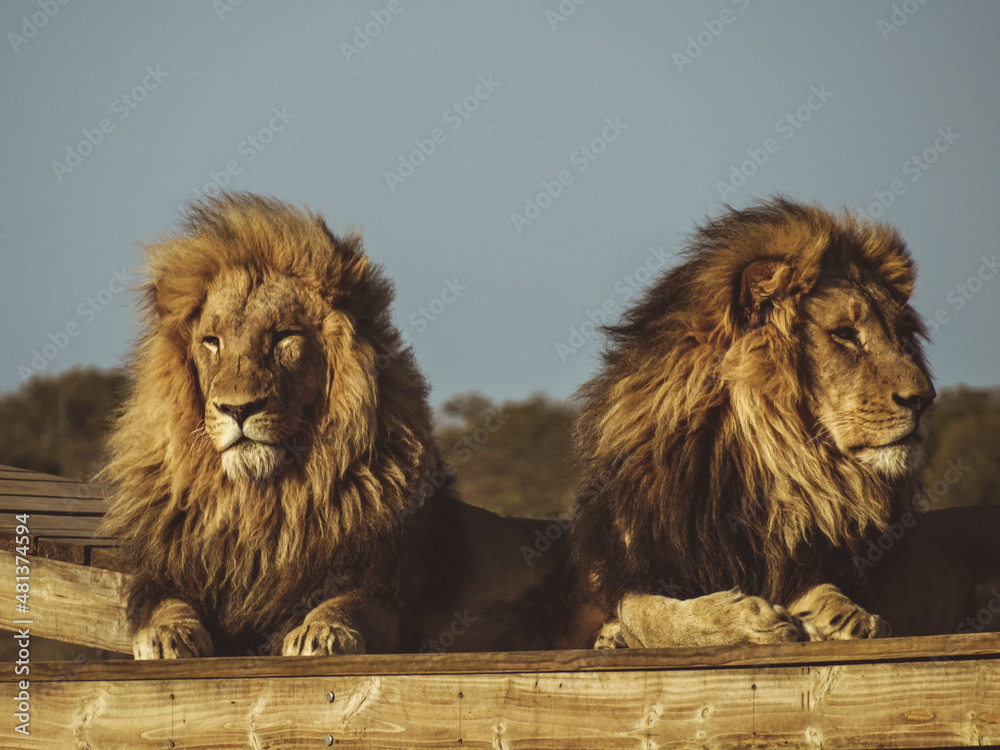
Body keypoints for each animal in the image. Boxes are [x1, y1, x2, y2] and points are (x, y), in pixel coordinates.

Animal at [98, 193, 572, 658]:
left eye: (284, 336)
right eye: (211, 342)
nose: (238, 408)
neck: (260, 503)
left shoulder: (384, 586)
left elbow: (347, 602)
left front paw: (321, 631)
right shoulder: (171, 573)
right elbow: (169, 604)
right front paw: (166, 635)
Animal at [568, 198, 937, 648]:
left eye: (902, 336)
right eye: (845, 334)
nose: (924, 399)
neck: (763, 467)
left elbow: (821, 587)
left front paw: (848, 617)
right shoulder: (633, 567)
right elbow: (644, 612)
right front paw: (748, 621)